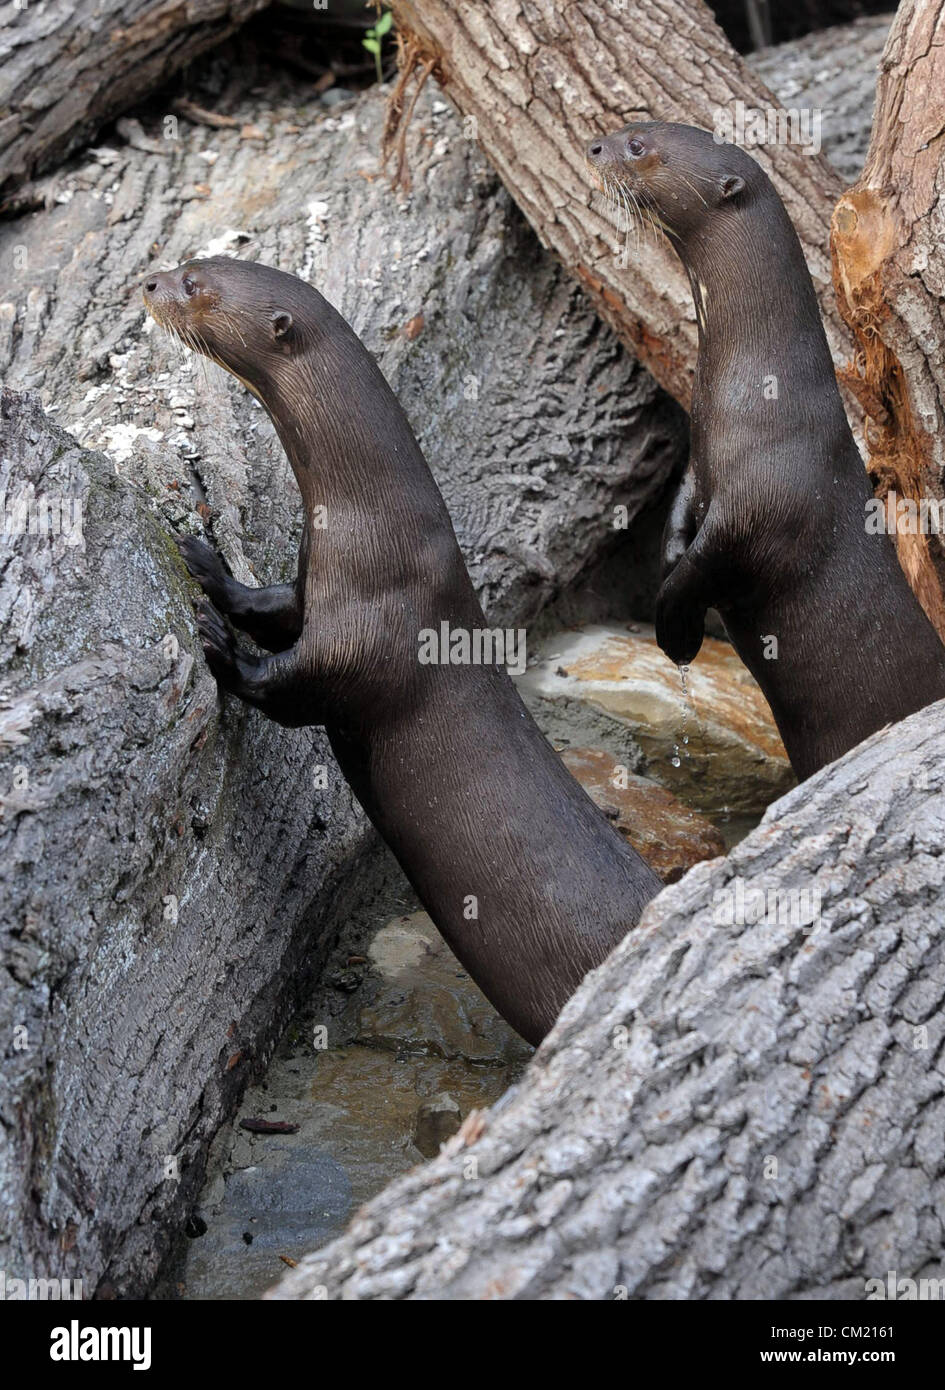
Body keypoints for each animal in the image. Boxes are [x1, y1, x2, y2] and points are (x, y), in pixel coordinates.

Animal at [143, 256, 662, 1045]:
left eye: (198, 287)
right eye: (188, 262)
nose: (148, 284)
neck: (376, 527)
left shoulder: (368, 632)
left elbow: (290, 686)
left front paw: (216, 642)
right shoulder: (314, 585)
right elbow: (273, 607)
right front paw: (205, 564)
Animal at [586, 121, 945, 779]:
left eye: (640, 146)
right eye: (633, 124)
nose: (596, 147)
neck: (760, 390)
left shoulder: (763, 503)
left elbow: (704, 568)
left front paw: (678, 637)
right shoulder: (700, 469)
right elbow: (679, 524)